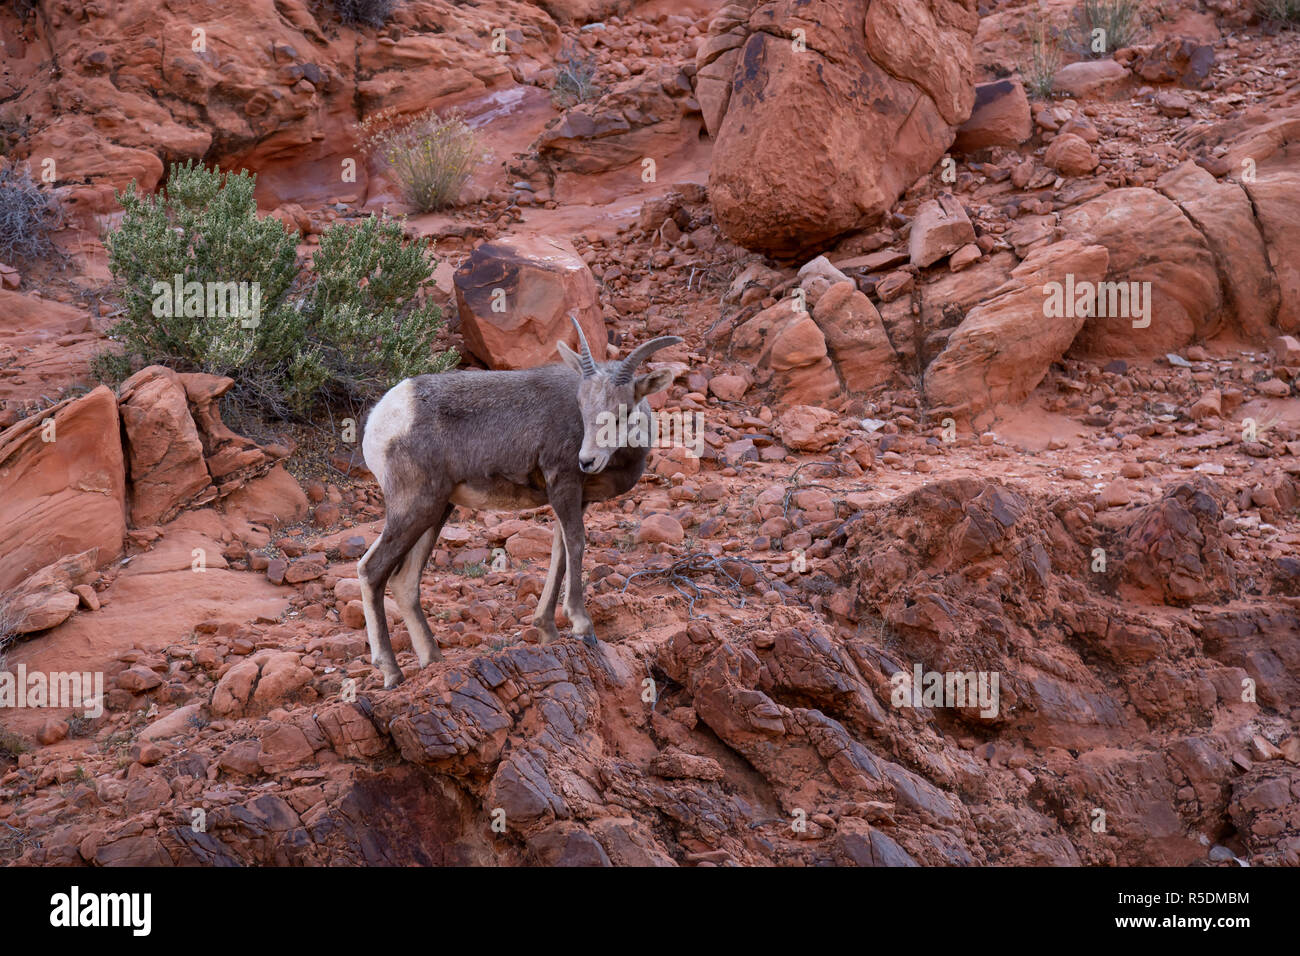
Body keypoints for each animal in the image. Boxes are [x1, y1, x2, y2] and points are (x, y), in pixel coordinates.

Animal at [357, 317, 683, 687]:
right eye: (583, 410)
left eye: (622, 412)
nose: (587, 461)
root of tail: (382, 419)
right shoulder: (564, 485)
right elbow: (575, 543)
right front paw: (582, 626)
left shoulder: (576, 498)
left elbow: (559, 553)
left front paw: (547, 630)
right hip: (414, 508)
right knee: (371, 570)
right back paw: (392, 672)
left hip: (437, 511)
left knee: (404, 581)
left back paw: (433, 660)